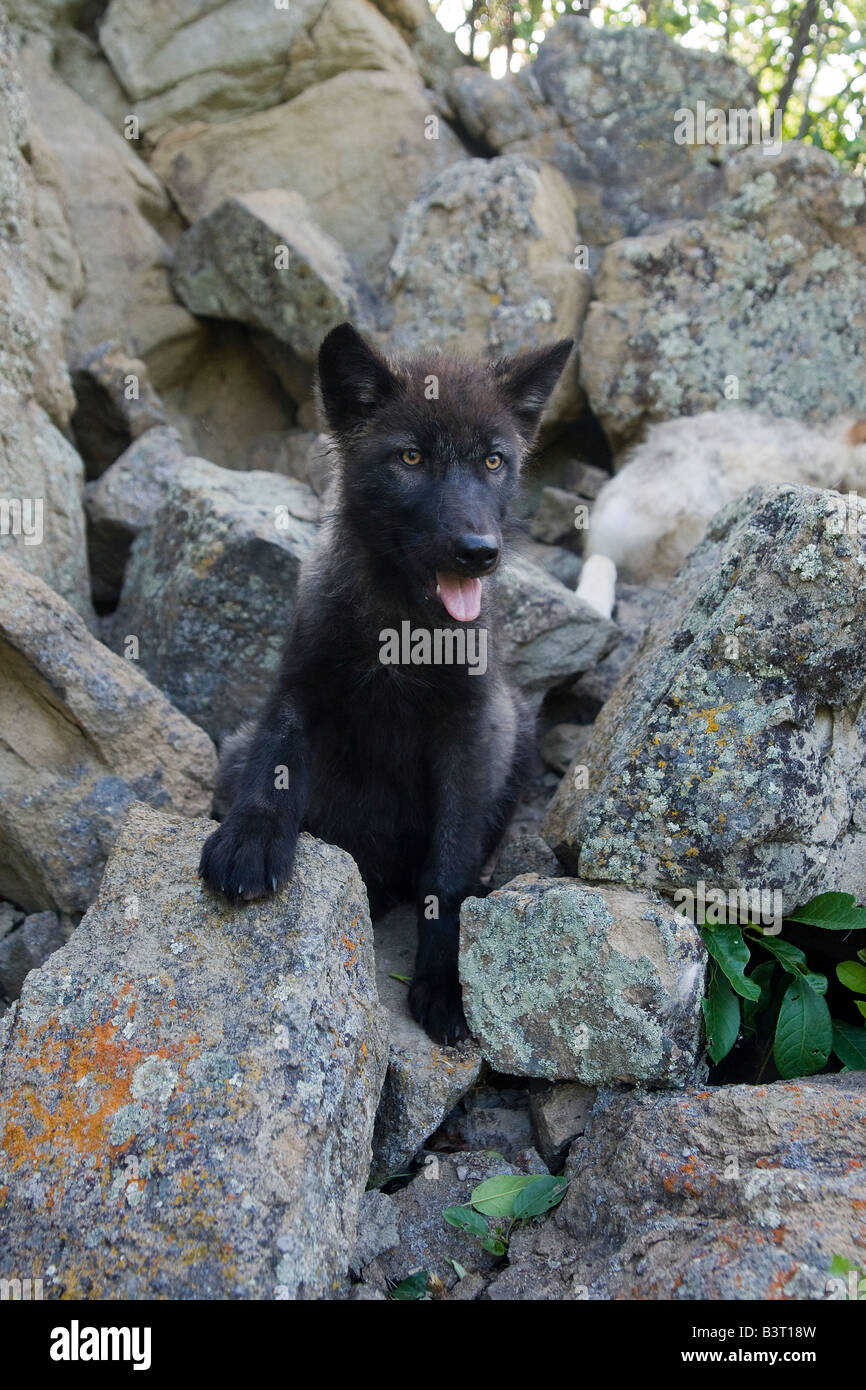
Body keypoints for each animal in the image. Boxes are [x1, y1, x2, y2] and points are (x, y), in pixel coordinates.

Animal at [199, 322, 572, 1044]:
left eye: (494, 462)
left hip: (516, 728)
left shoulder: (470, 730)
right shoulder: (298, 690)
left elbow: (448, 872)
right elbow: (273, 770)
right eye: (411, 458)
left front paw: (445, 981)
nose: (478, 552)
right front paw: (249, 840)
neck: (404, 629)